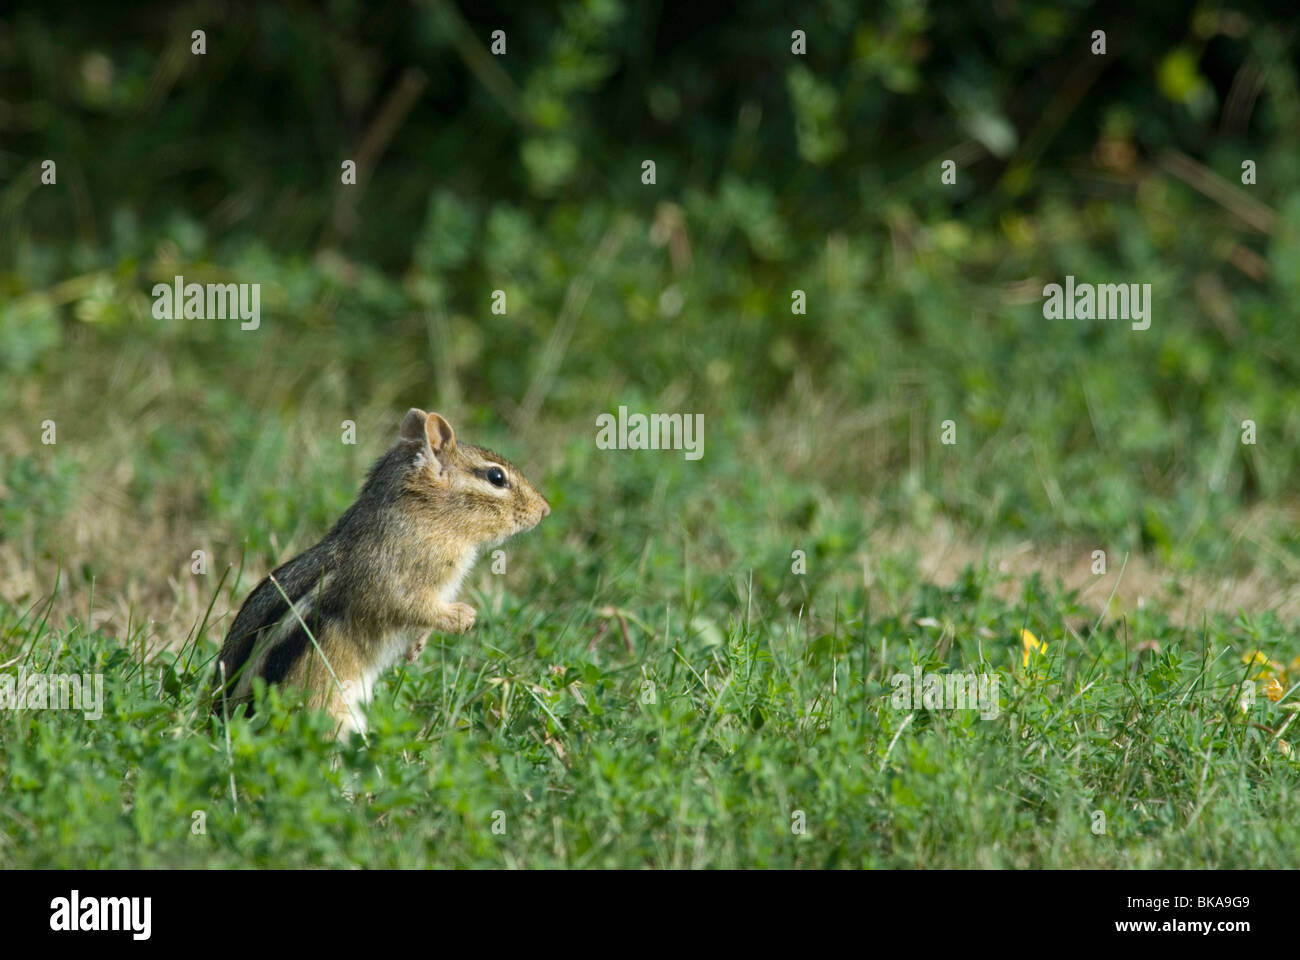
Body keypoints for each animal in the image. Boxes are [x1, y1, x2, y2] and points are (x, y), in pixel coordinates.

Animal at [210, 408, 550, 738]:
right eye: (496, 477)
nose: (545, 510)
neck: (426, 514)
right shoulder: (394, 582)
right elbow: (409, 607)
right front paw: (463, 617)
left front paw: (418, 647)